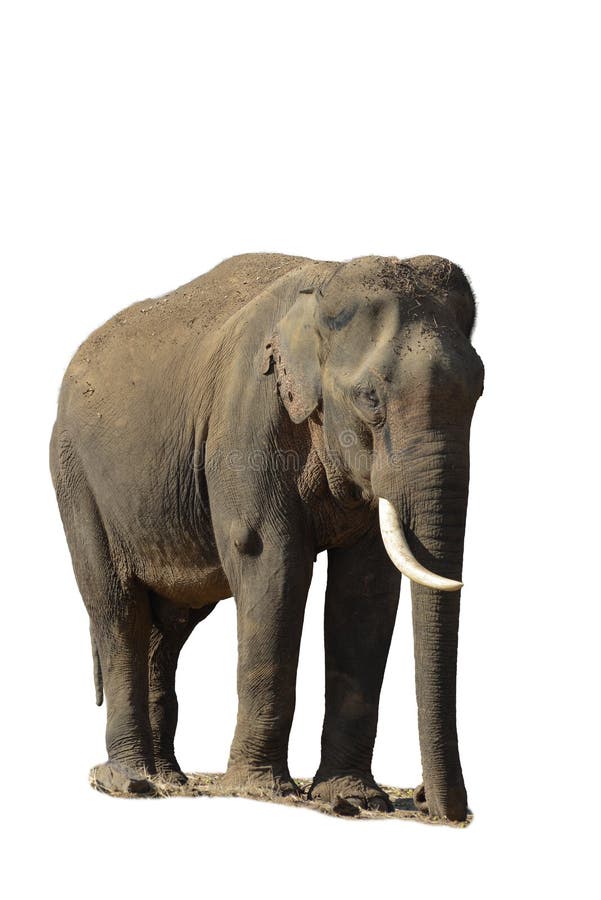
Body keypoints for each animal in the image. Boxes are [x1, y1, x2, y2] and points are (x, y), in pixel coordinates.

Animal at [50, 252, 484, 820]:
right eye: (370, 398)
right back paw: (129, 781)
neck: (324, 285)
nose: (429, 802)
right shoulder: (247, 423)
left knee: (169, 624)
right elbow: (272, 565)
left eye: (479, 391)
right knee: (117, 607)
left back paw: (171, 779)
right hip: (77, 481)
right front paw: (260, 790)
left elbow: (365, 589)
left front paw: (351, 798)